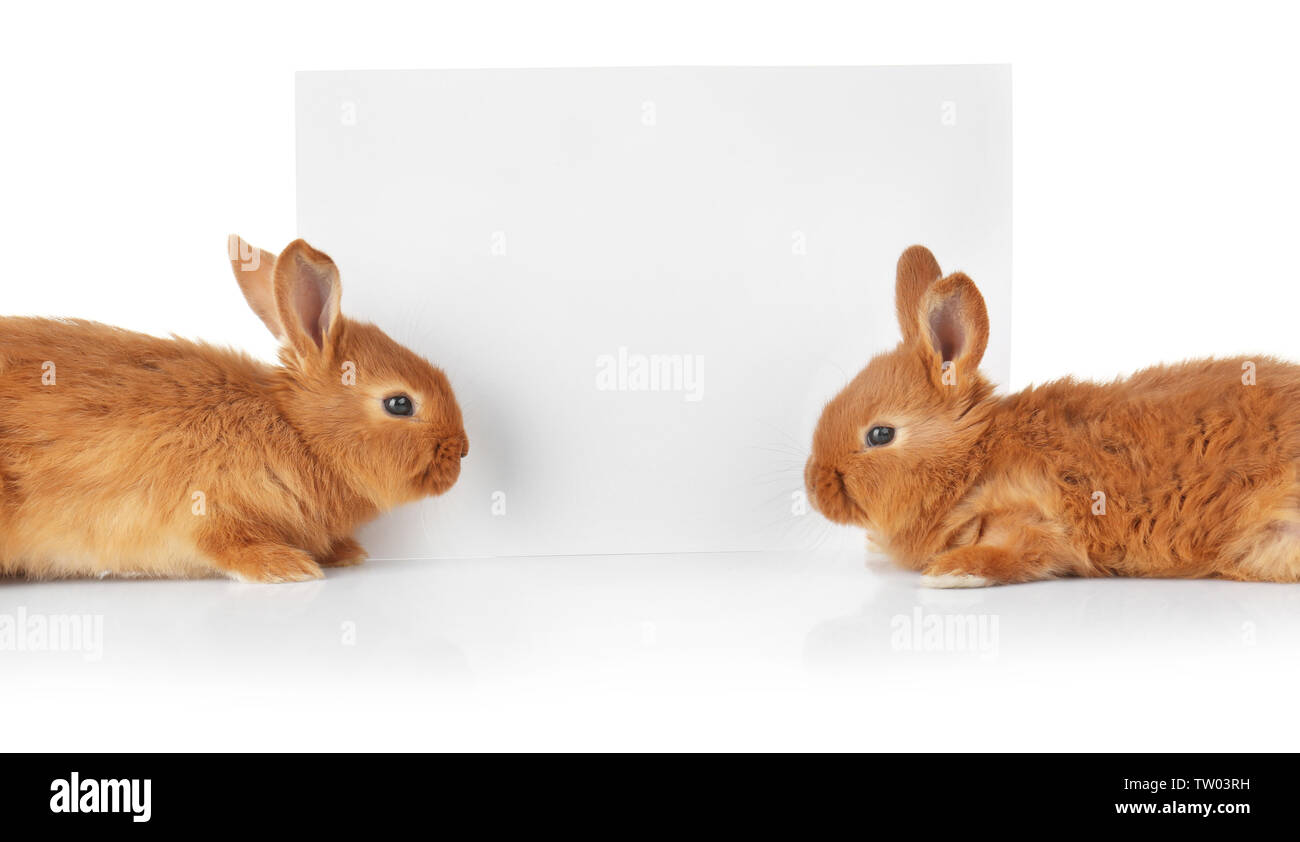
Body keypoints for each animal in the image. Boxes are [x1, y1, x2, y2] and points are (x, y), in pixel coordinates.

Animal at [0, 236, 467, 583]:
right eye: (399, 403)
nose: (462, 450)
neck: (297, 430)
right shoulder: (208, 508)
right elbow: (229, 546)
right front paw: (287, 567)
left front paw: (346, 553)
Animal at [806, 245, 1300, 588]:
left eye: (880, 434)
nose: (813, 488)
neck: (971, 462)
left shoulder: (1037, 518)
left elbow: (1016, 555)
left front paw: (949, 573)